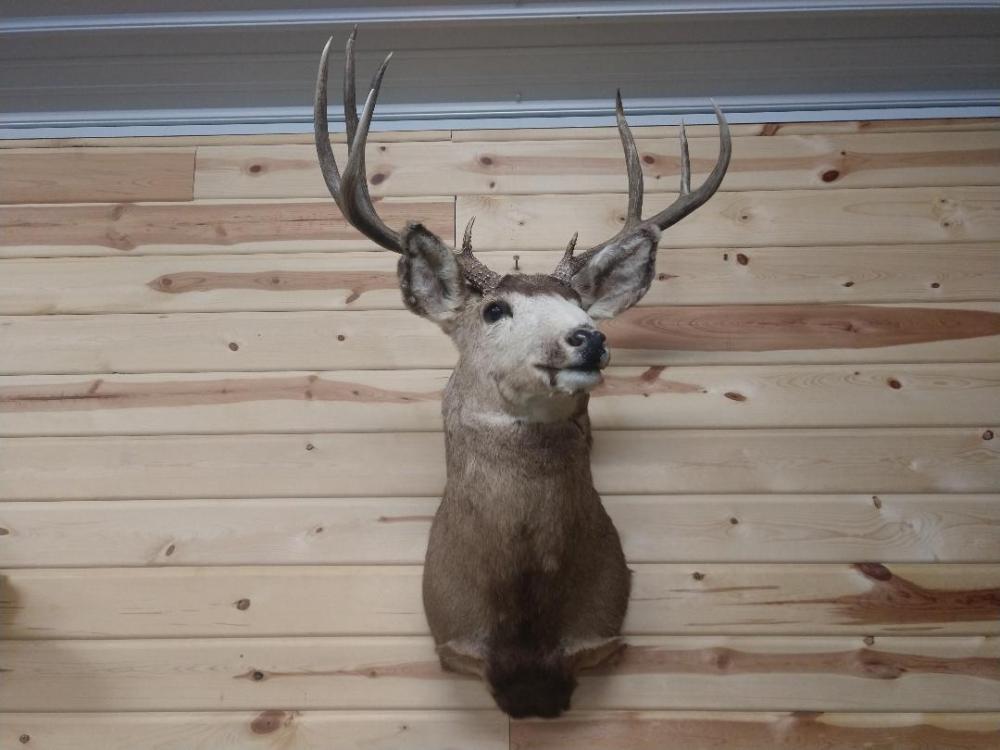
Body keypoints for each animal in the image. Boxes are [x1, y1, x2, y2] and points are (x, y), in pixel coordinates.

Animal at [314, 29, 730, 718]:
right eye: (494, 309)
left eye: (582, 308)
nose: (588, 338)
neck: (527, 629)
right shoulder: (451, 641)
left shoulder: (602, 634)